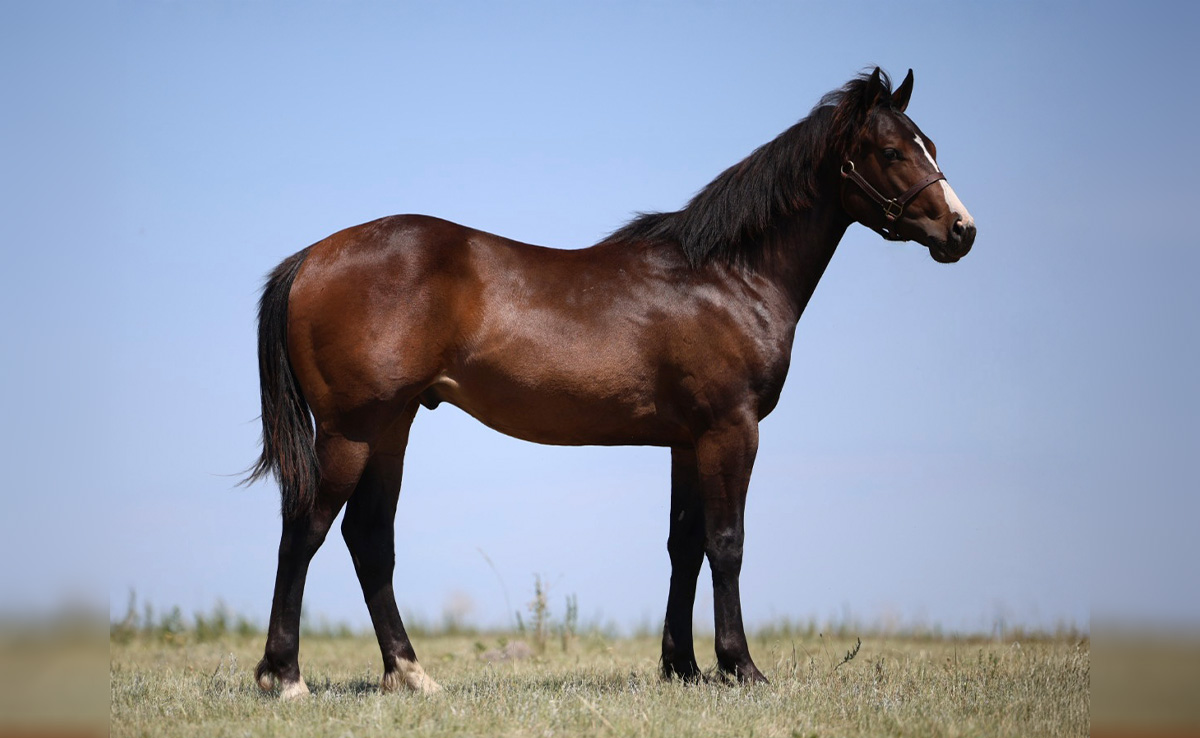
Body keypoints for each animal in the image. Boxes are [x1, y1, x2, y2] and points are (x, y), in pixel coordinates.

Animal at [245, 67, 975, 699]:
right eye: (891, 150)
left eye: (931, 145)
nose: (961, 230)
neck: (728, 278)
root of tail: (311, 257)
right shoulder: (731, 429)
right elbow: (727, 544)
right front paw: (740, 667)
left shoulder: (688, 440)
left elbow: (685, 545)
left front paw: (682, 667)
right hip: (352, 430)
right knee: (305, 529)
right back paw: (285, 677)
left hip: (391, 428)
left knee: (368, 538)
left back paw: (410, 674)